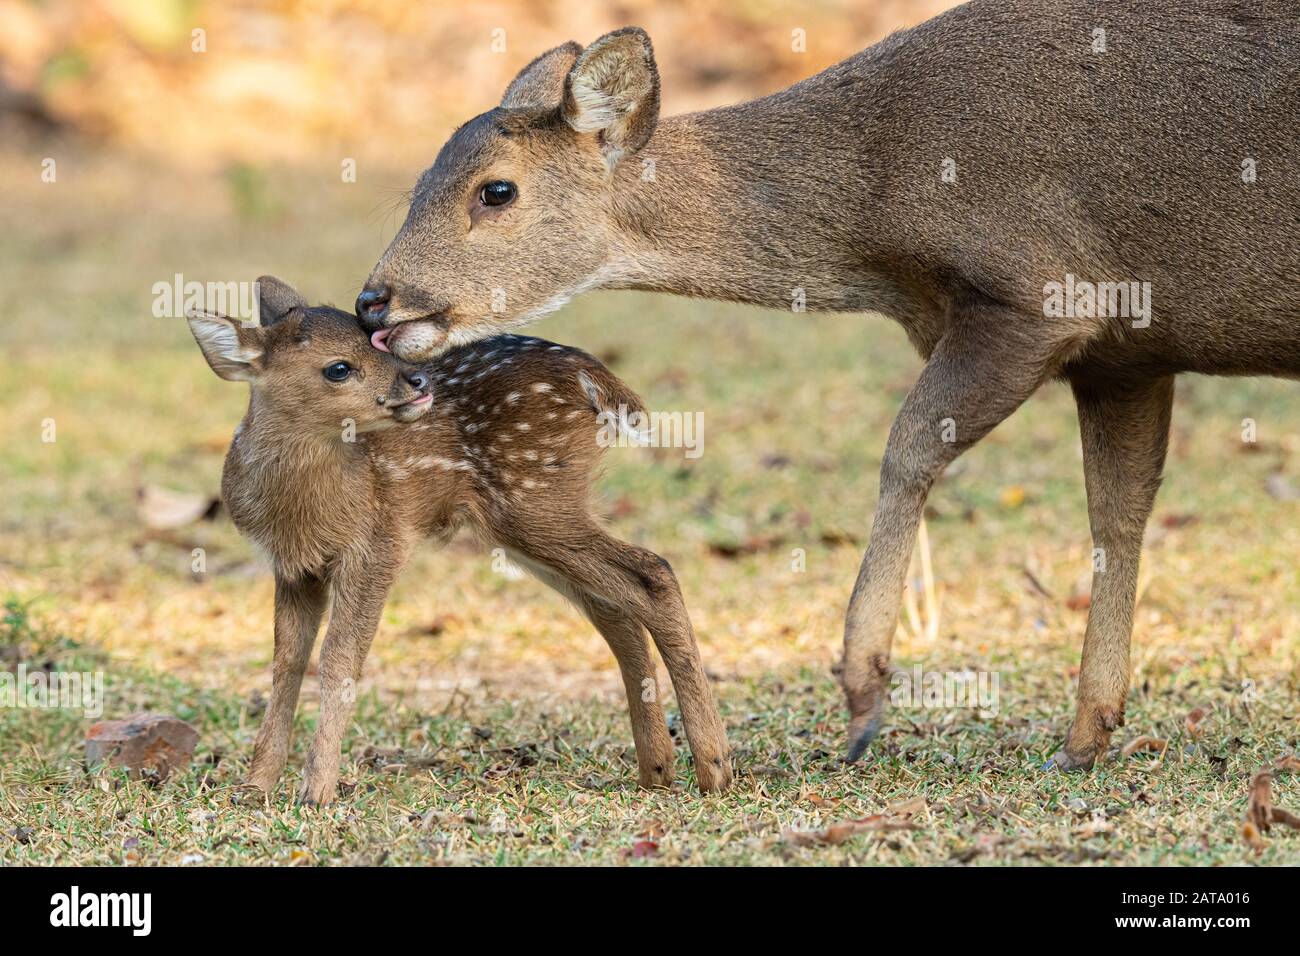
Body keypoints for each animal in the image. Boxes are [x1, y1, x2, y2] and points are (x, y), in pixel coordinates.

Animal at [186, 276, 732, 805]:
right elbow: (287, 661)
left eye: (373, 340)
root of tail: (593, 377)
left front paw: (315, 792)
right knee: (616, 608)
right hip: (527, 519)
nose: (418, 380)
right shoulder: (294, 565)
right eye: (339, 367)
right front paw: (255, 786)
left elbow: (340, 658)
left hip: (533, 498)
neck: (302, 508)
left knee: (652, 571)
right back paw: (657, 769)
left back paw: (714, 768)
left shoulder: (381, 541)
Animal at [353, 0, 1300, 772]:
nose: (373, 301)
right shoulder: (1127, 355)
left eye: (496, 191)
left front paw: (863, 692)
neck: (877, 209)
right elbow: (1120, 516)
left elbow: (908, 447)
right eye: (419, 183)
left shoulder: (1045, 291)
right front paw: (1086, 734)